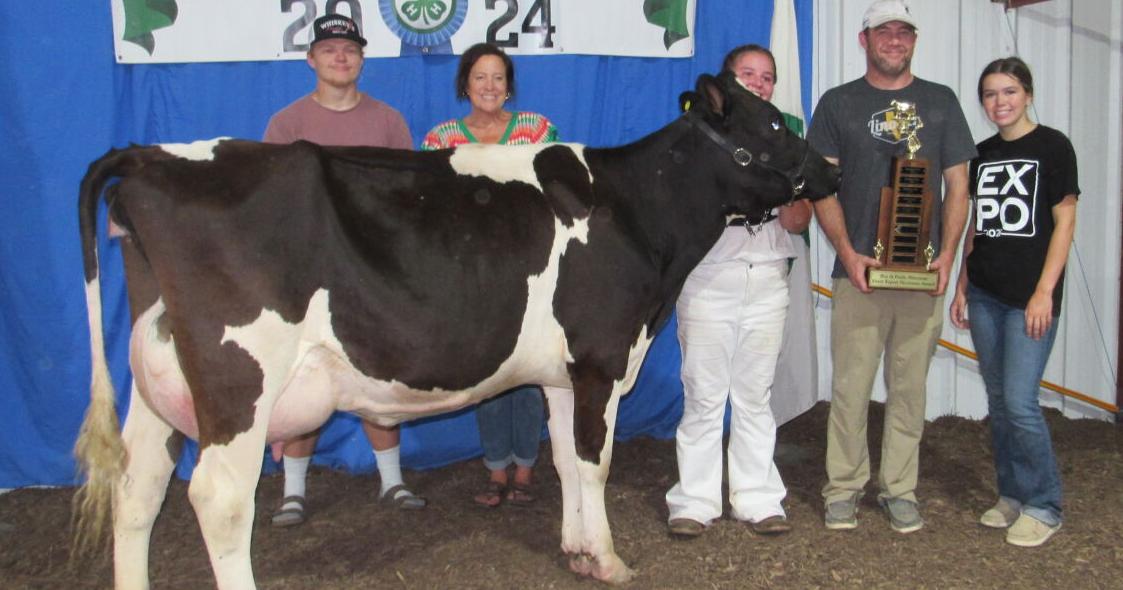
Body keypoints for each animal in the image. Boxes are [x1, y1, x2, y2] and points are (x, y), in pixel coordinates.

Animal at [74, 71, 840, 589]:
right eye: (773, 124)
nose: (830, 168)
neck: (634, 210)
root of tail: (149, 155)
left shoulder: (563, 375)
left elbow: (565, 461)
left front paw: (576, 550)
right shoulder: (600, 359)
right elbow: (594, 462)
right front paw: (608, 558)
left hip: (158, 378)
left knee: (138, 487)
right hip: (239, 380)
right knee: (219, 498)